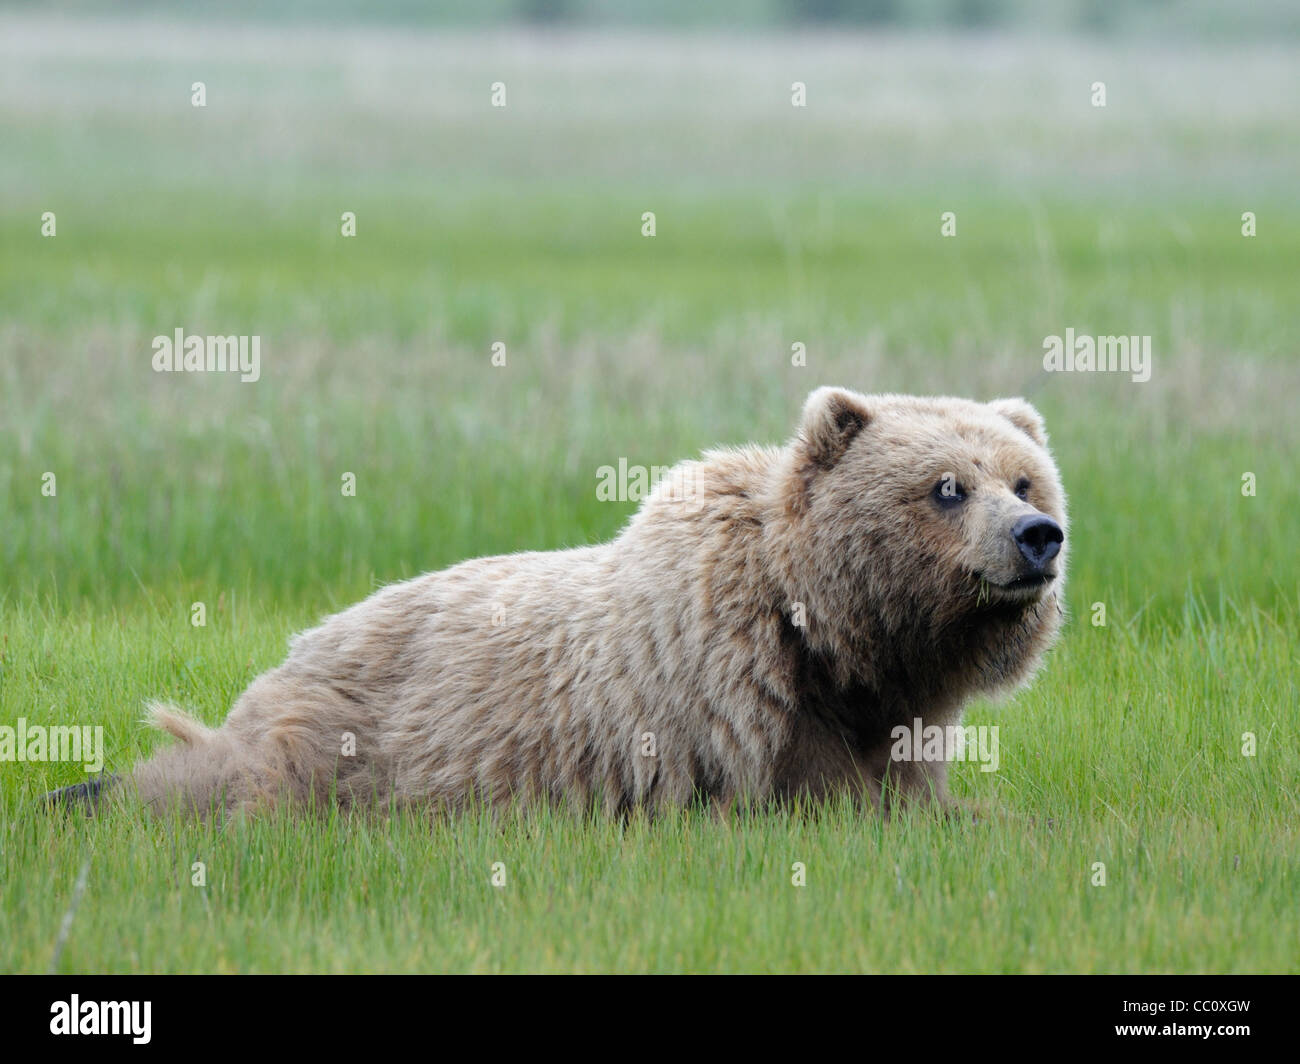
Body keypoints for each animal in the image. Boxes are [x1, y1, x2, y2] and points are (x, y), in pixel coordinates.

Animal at [55, 387, 1067, 819]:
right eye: (945, 487)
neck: (820, 634)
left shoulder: (891, 721)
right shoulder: (725, 718)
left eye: (1023, 478)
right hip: (346, 735)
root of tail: (296, 647)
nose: (1037, 538)